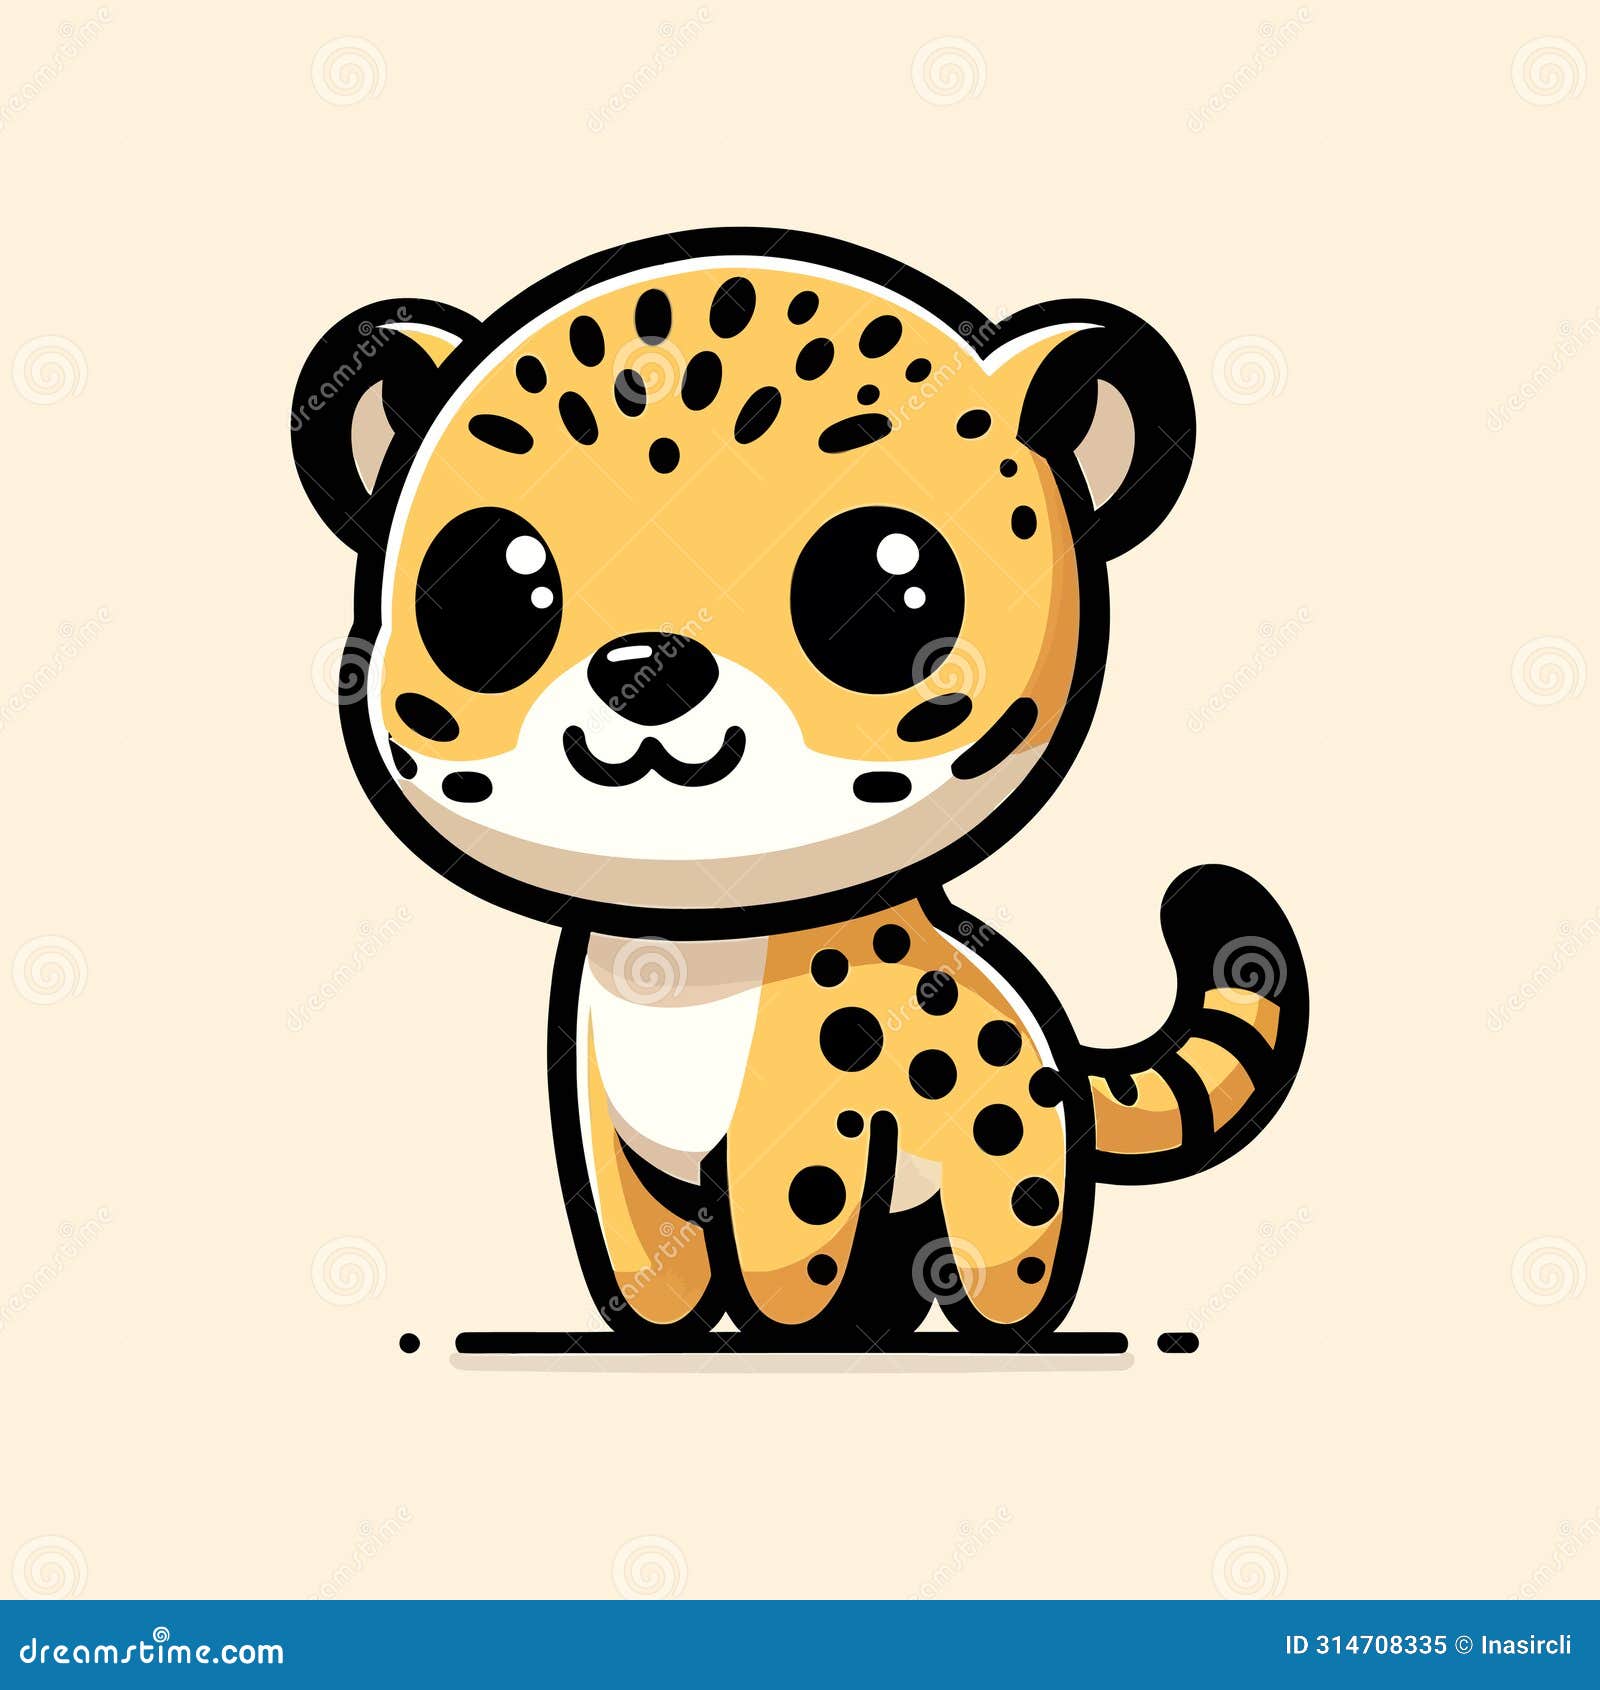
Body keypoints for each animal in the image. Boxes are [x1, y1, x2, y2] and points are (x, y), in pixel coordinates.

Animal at [291, 228, 1309, 1350]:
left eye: (888, 589)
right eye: (489, 589)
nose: (652, 668)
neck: (694, 959)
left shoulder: (814, 1124)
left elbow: (792, 1229)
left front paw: (788, 1325)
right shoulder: (601, 1119)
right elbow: (637, 1242)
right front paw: (661, 1326)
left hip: (1008, 1164)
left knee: (1011, 1242)